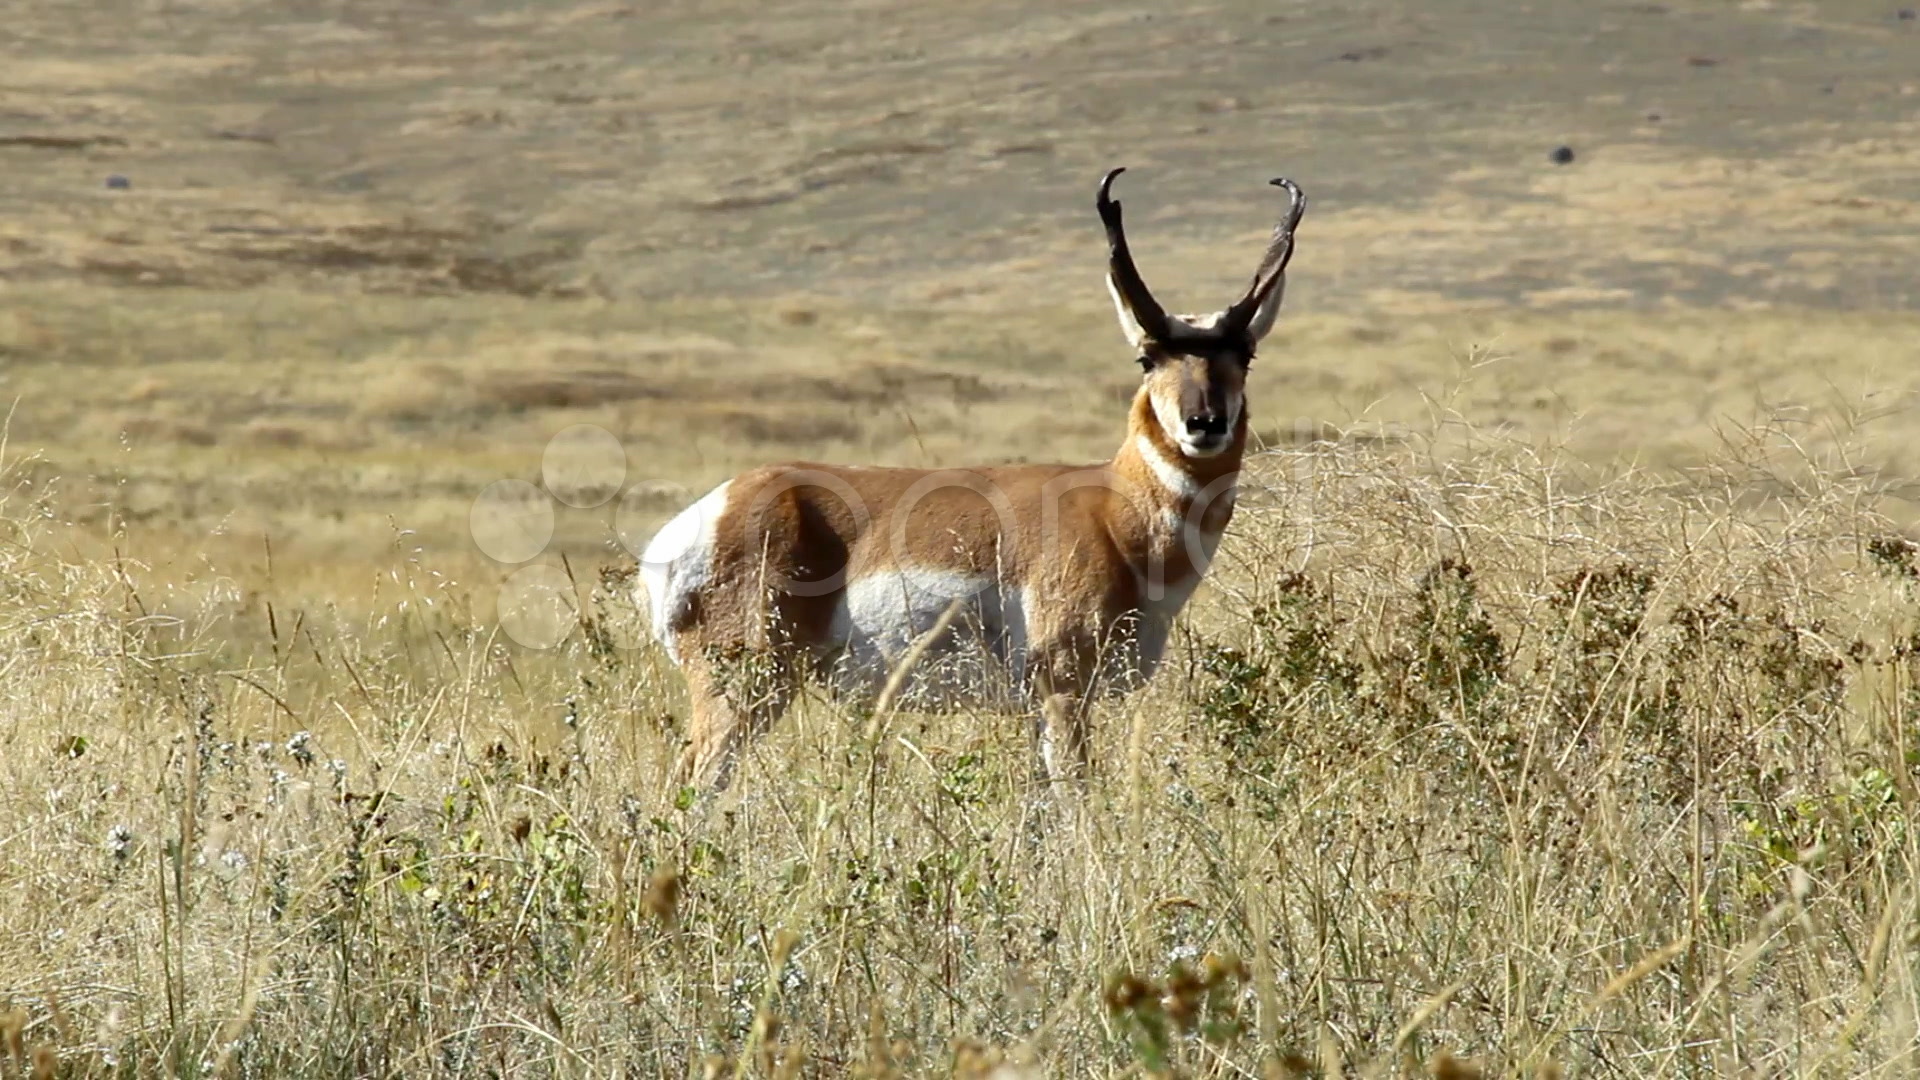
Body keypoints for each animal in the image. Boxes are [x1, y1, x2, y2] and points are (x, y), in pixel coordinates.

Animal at [639, 168, 1307, 793]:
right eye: (1148, 356)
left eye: (1244, 354)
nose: (1205, 424)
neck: (1111, 510)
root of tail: (708, 513)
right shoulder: (1064, 692)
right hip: (745, 689)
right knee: (694, 782)